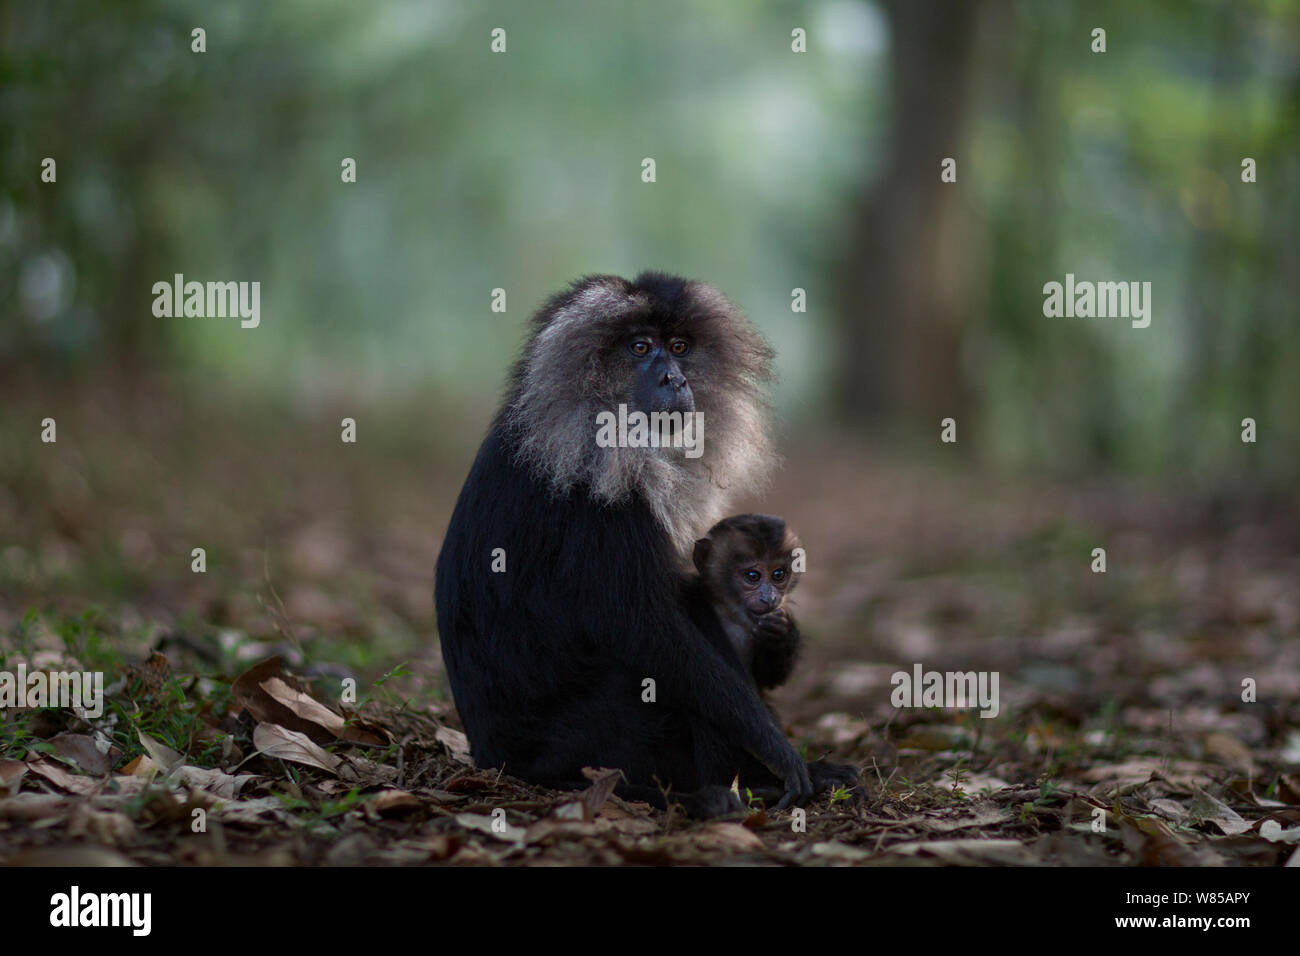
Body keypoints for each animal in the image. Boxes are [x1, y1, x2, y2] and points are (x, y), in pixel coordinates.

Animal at [435, 272, 857, 817]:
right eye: (639, 347)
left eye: (678, 347)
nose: (675, 379)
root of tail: (493, 756)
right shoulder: (598, 495)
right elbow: (642, 625)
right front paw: (774, 749)